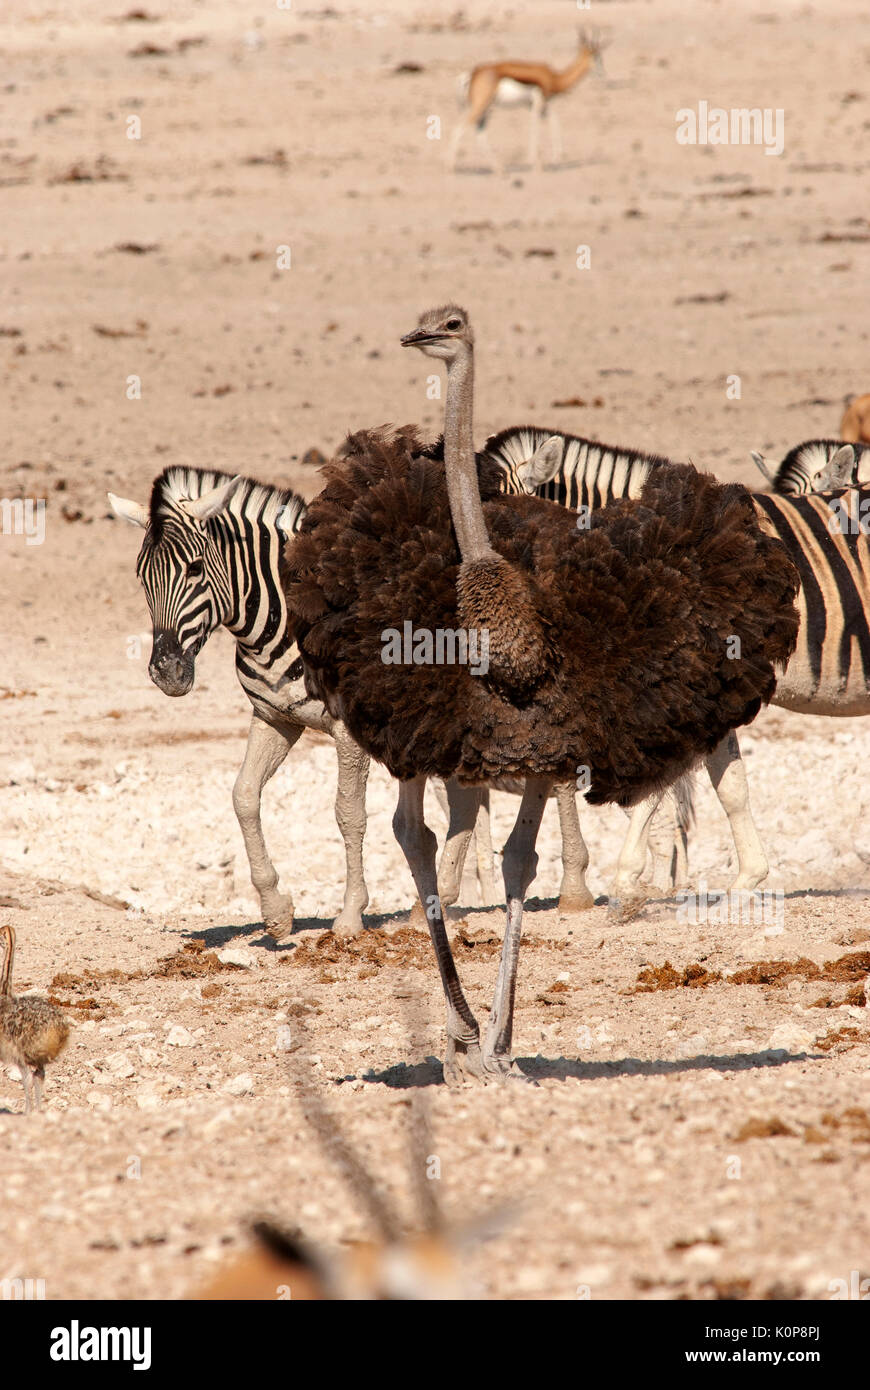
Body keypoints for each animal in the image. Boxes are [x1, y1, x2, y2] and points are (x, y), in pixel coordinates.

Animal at [108, 467, 371, 940]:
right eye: (141, 577)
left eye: (195, 569)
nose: (166, 672)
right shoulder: (274, 718)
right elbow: (244, 796)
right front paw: (275, 909)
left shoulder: (348, 729)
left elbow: (348, 812)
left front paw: (350, 915)